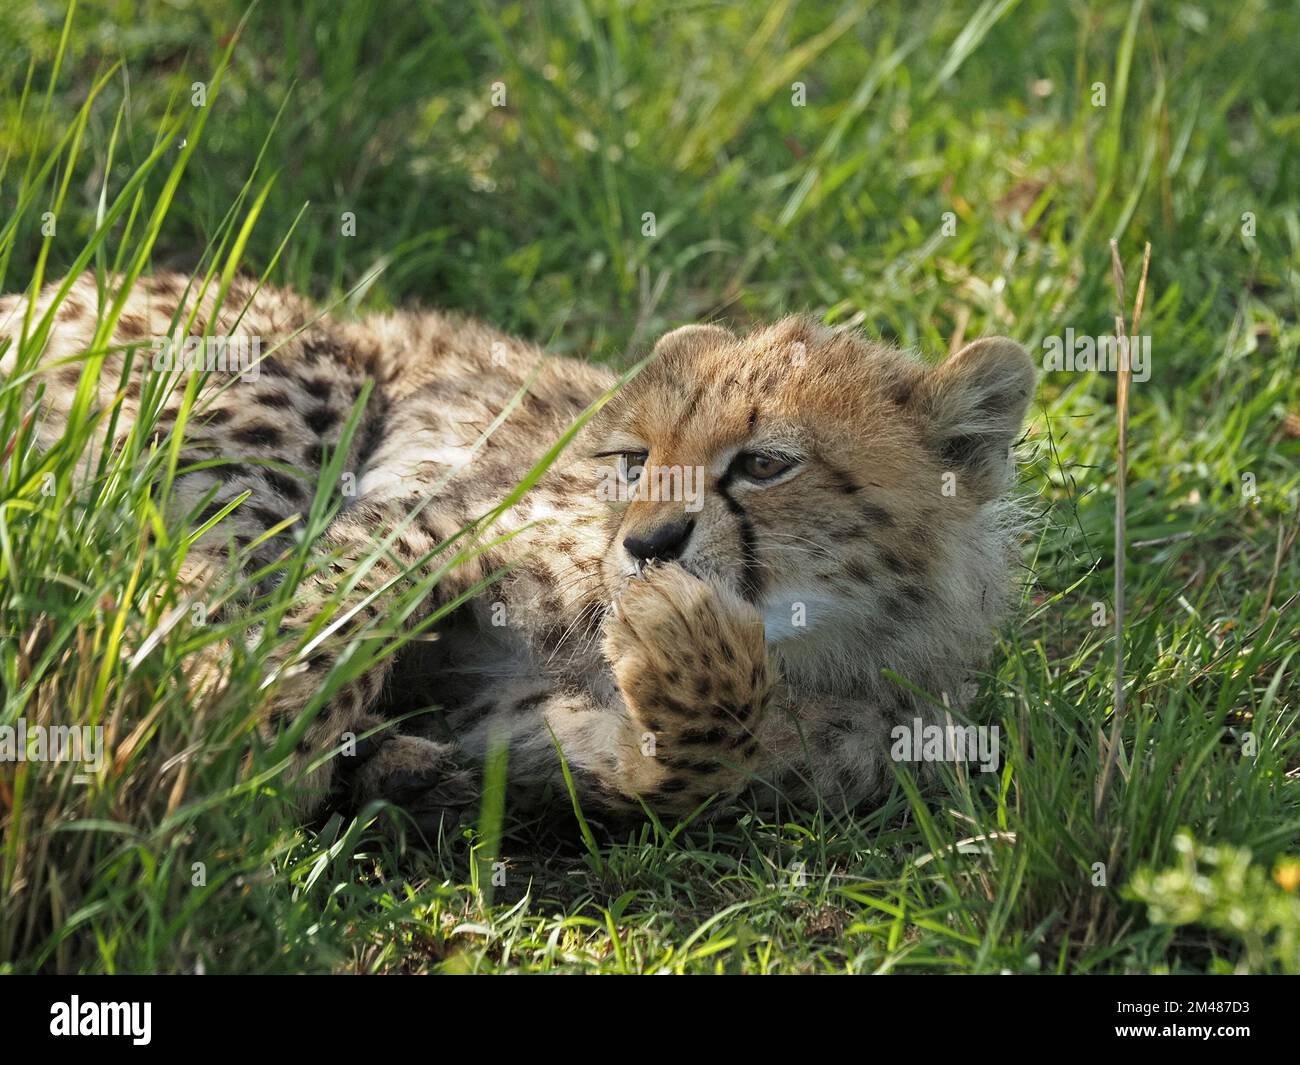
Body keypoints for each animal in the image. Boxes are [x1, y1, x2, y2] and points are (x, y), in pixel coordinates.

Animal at [0, 271, 1036, 834]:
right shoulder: (433, 521)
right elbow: (331, 620)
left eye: (767, 464)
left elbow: (692, 763)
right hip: (289, 393)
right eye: (632, 460)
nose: (646, 548)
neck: (811, 651)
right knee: (161, 583)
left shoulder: (508, 712)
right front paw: (223, 755)